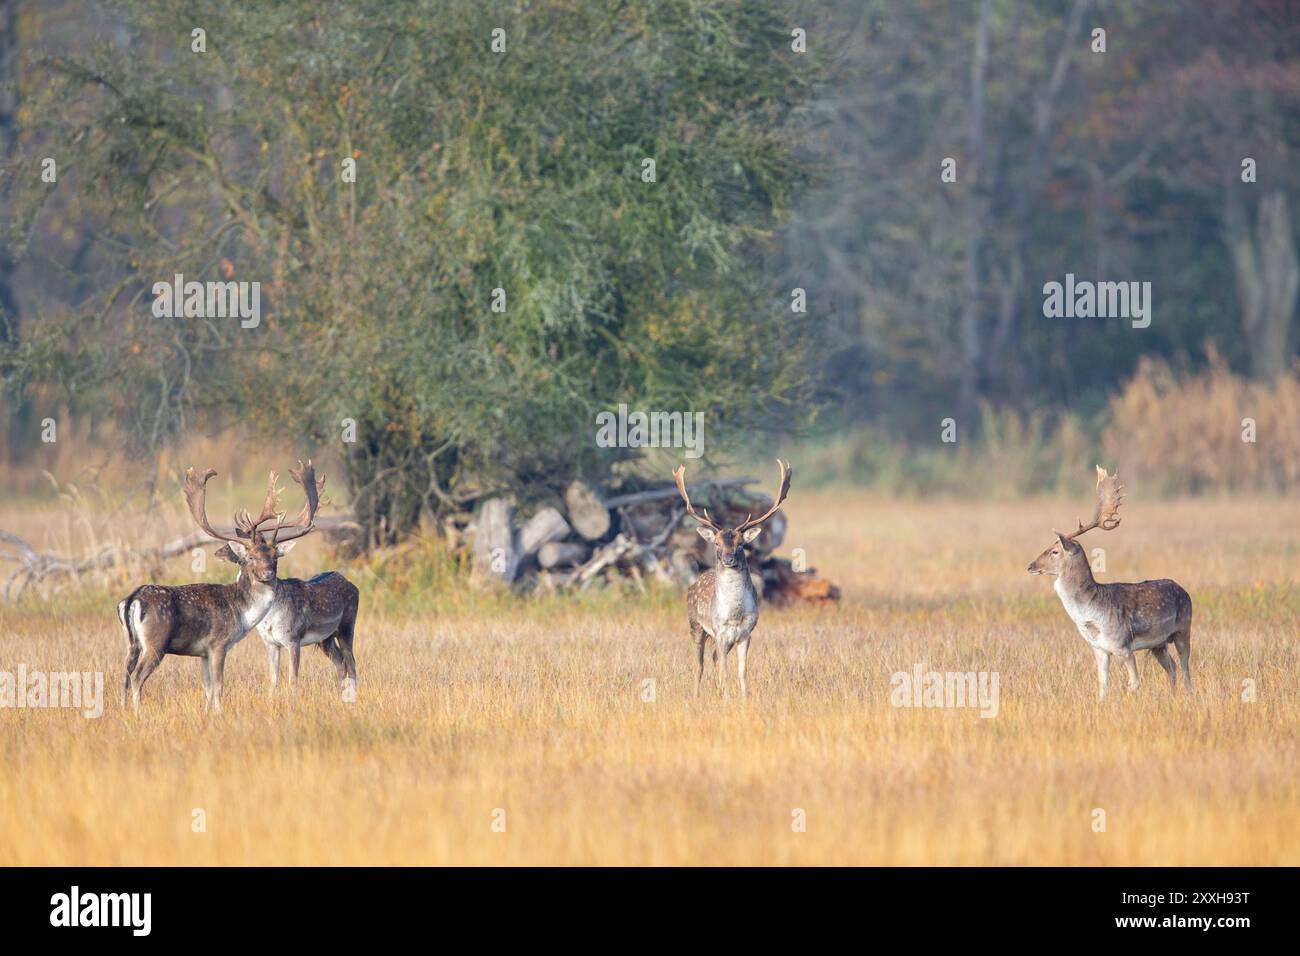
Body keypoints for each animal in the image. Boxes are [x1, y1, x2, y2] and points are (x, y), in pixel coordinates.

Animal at [117, 466, 318, 713]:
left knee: (125, 674)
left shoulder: (202, 652)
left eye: (275, 557)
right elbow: (219, 687)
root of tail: (132, 599)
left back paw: (124, 709)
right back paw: (138, 712)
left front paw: (207, 713)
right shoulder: (218, 643)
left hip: (131, 642)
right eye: (251, 557)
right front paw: (219, 714)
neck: (242, 614)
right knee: (136, 677)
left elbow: (207, 688)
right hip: (156, 642)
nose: (268, 574)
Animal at [213, 461, 359, 701]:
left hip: (347, 625)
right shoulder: (270, 642)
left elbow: (292, 680)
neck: (269, 618)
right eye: (251, 556)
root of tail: (352, 584)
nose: (267, 574)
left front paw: (292, 703)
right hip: (325, 638)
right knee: (340, 663)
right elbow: (273, 680)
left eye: (275, 557)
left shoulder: (293, 639)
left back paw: (351, 698)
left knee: (352, 662)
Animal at [673, 458, 791, 698]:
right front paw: (726, 698)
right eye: (717, 543)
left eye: (740, 544)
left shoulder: (746, 633)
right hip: (695, 625)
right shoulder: (719, 632)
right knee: (699, 664)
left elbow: (741, 672)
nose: (728, 559)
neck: (734, 615)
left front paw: (744, 698)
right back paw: (696, 696)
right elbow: (723, 672)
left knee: (713, 659)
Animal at [1027, 465, 1192, 700]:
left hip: (1183, 628)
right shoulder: (1099, 649)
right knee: (1172, 667)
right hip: (1159, 644)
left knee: (1186, 668)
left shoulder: (1123, 644)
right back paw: (1173, 697)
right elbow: (1102, 685)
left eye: (1055, 551)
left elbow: (1134, 683)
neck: (1091, 616)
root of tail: (1185, 591)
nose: (1030, 566)